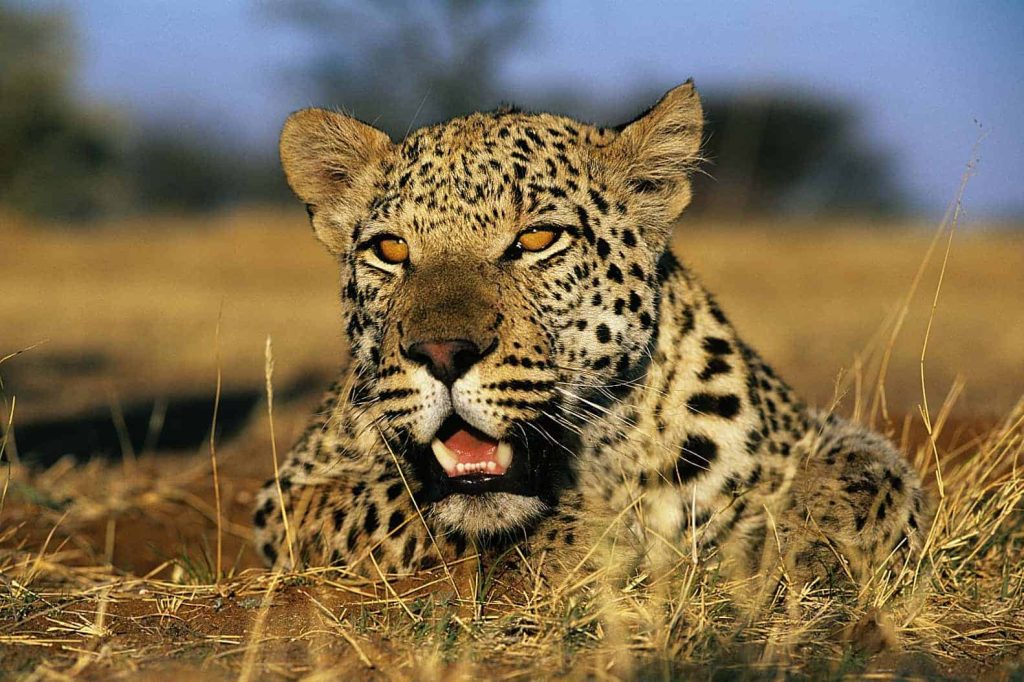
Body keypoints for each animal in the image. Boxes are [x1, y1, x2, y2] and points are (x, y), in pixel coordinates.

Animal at [252, 81, 931, 617]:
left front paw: (815, 548)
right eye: (390, 250)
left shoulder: (803, 430)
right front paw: (584, 537)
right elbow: (392, 503)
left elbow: (870, 473)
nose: (442, 352)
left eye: (537, 239)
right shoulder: (287, 499)